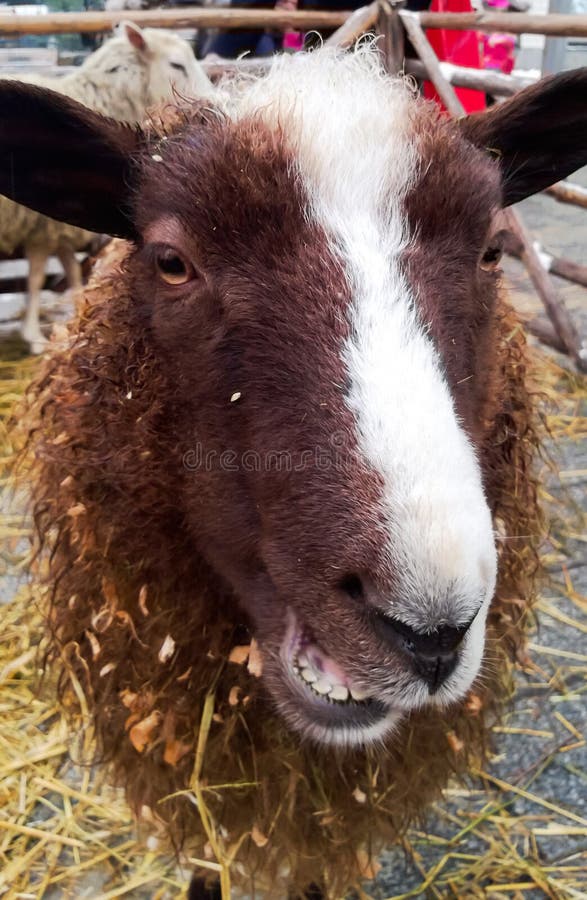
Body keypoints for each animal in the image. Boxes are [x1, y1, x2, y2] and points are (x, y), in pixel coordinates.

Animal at [0, 21, 214, 354]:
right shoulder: (43, 229)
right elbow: (36, 278)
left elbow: (72, 270)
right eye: (177, 64)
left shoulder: (59, 230)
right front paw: (34, 336)